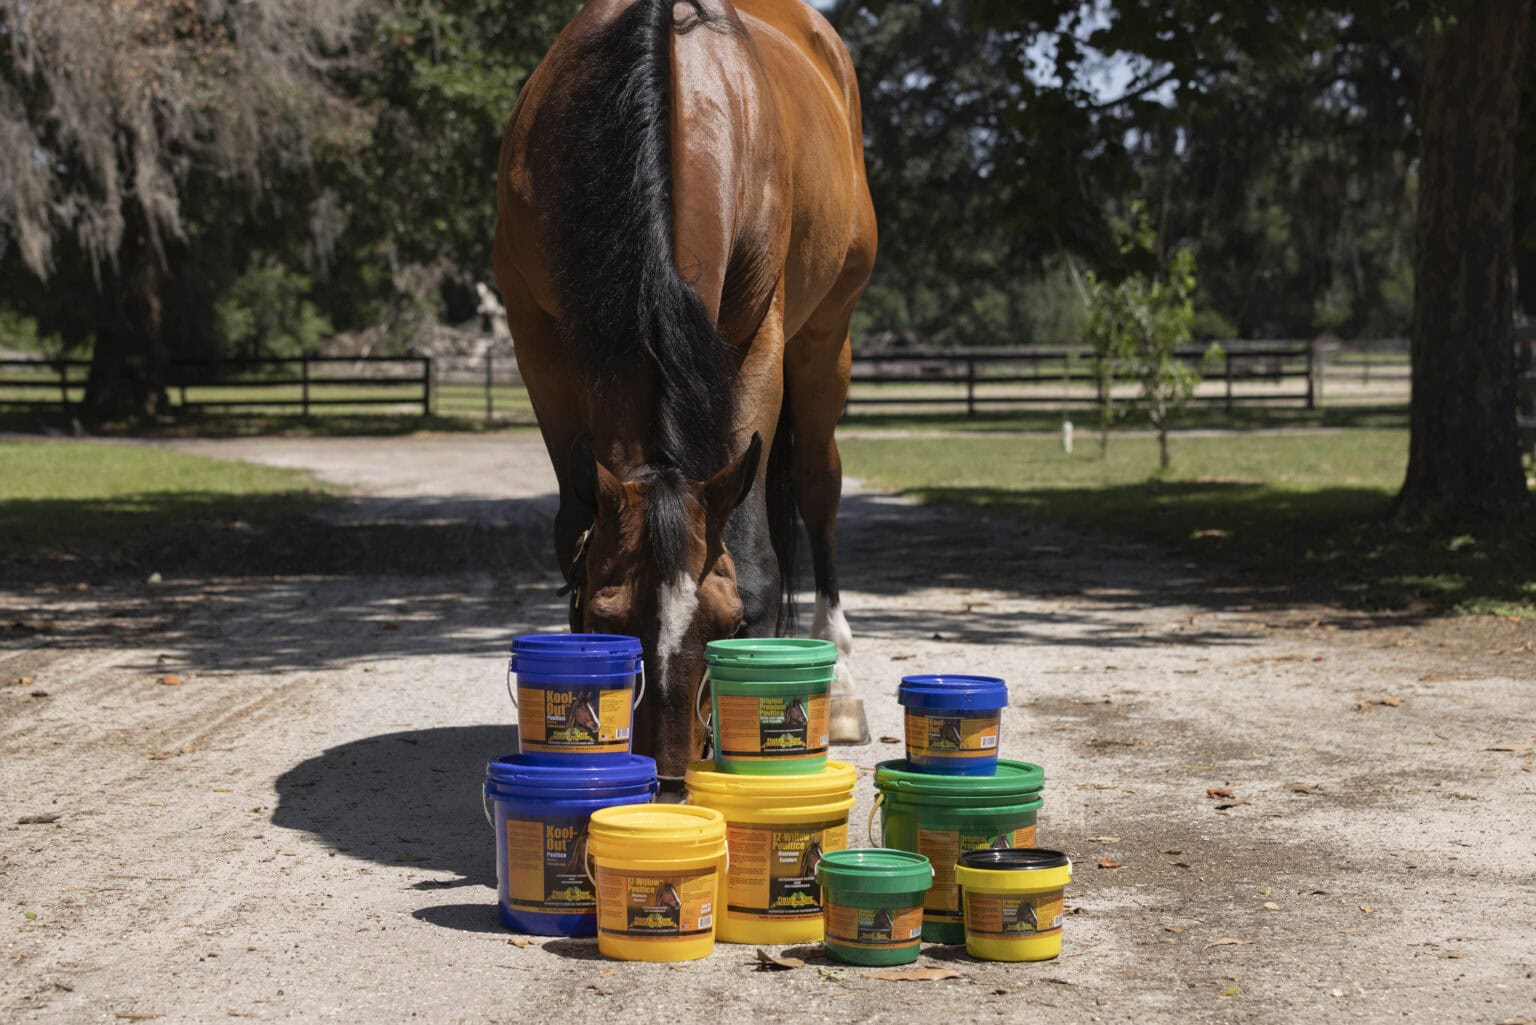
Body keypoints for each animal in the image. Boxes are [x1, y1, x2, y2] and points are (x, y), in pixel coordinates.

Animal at [494, 0, 876, 792]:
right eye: (603, 619)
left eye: (732, 624)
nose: (670, 782)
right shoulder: (536, 341)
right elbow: (570, 529)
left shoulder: (758, 335)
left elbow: (757, 554)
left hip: (826, 340)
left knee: (819, 488)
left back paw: (844, 683)